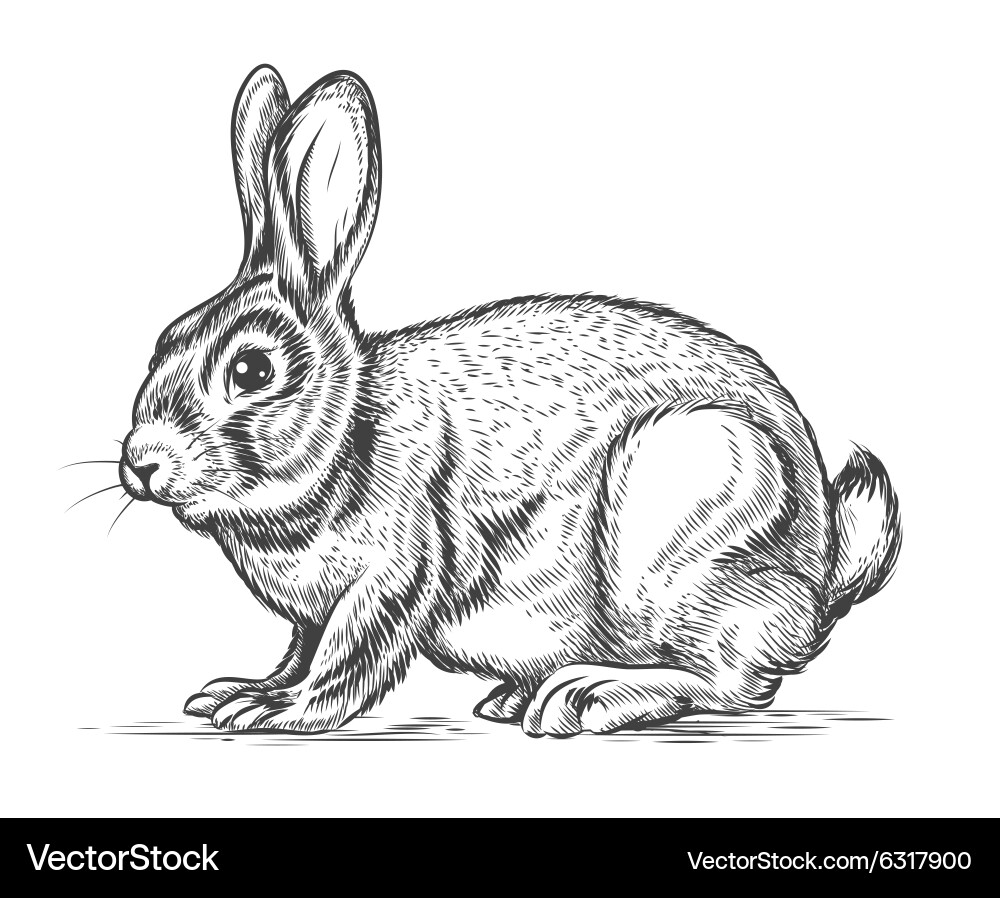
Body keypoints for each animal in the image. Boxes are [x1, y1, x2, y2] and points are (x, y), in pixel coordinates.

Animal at [120, 65, 901, 736]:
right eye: (164, 342)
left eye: (251, 369)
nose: (141, 464)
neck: (346, 434)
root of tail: (819, 577)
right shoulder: (309, 616)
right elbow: (299, 651)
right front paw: (239, 693)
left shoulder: (392, 573)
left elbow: (347, 661)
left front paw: (276, 713)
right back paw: (516, 696)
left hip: (690, 520)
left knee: (727, 682)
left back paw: (585, 697)